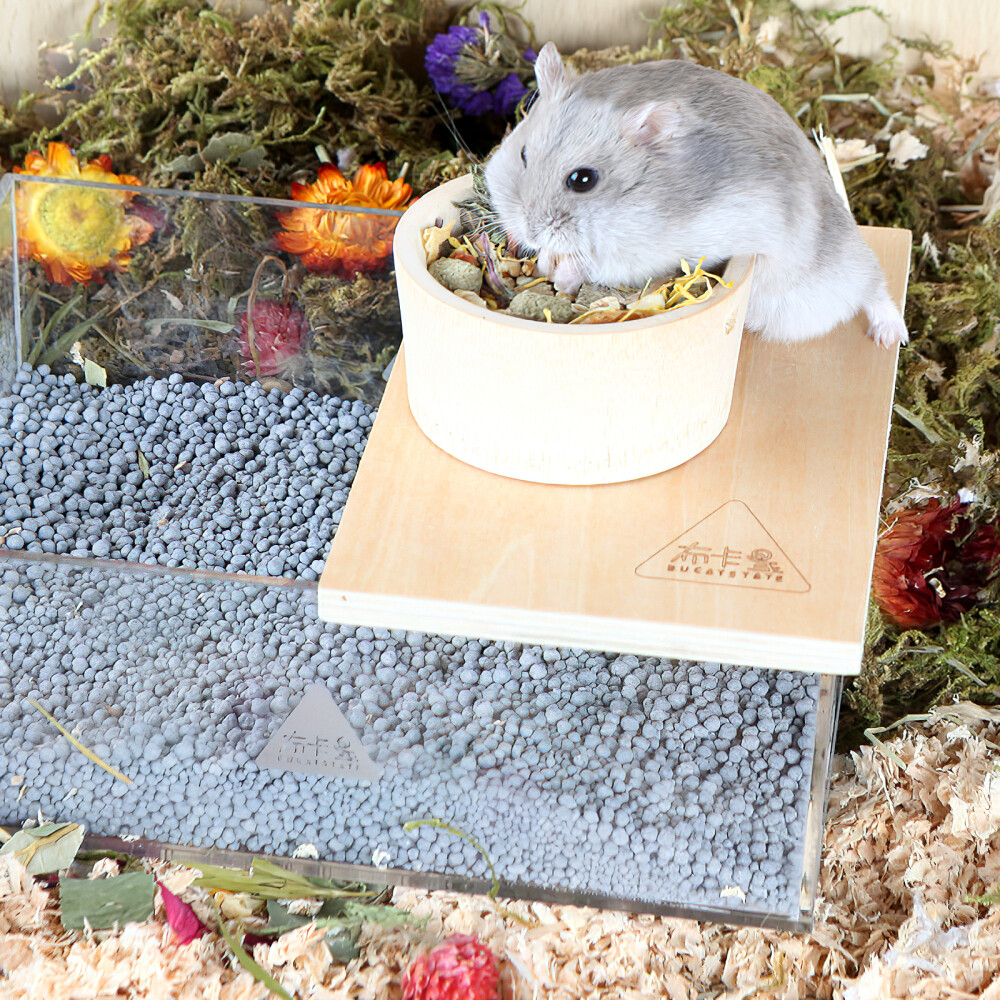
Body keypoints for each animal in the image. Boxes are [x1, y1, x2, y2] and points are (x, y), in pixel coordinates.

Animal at [483, 42, 908, 347]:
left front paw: (557, 271)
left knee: (875, 288)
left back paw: (890, 337)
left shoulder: (642, 253)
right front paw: (539, 257)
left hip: (839, 272)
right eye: (522, 155)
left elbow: (591, 264)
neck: (629, 198)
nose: (530, 232)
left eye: (583, 180)